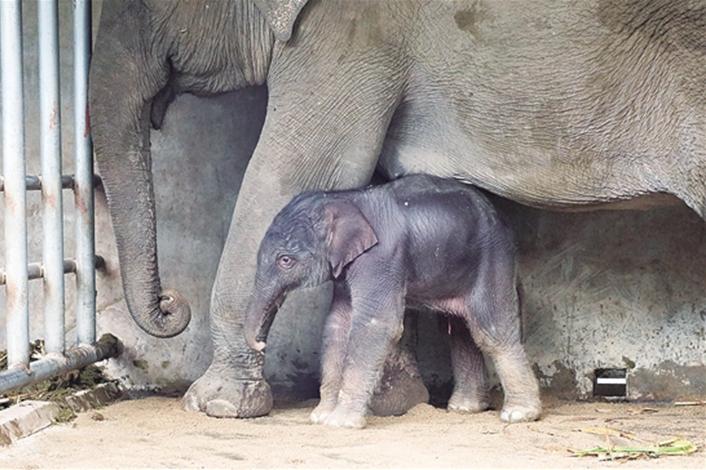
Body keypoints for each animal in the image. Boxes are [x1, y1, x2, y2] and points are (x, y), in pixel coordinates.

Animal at [243, 174, 541, 428]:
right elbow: (337, 324)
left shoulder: (380, 258)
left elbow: (375, 324)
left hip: (493, 259)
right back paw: (464, 408)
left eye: (285, 260)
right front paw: (320, 417)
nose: (261, 343)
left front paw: (340, 423)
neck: (346, 199)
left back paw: (518, 415)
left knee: (491, 329)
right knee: (460, 330)